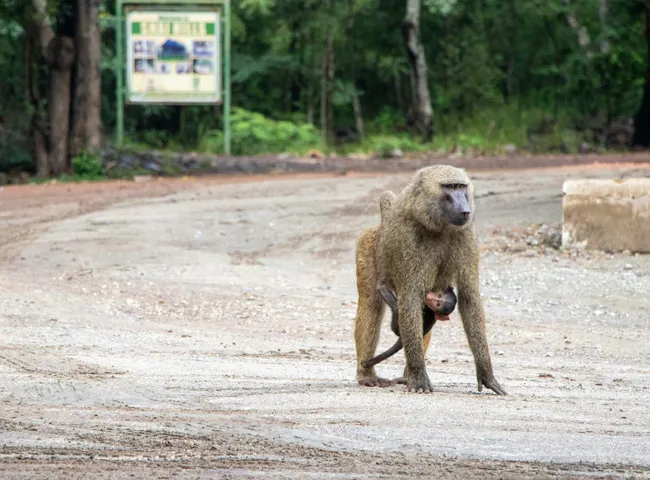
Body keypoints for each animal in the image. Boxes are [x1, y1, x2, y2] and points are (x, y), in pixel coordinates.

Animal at [354, 165, 506, 395]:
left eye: (461, 187)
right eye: (449, 188)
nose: (465, 210)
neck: (437, 227)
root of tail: (380, 226)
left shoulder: (467, 234)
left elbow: (469, 297)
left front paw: (487, 374)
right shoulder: (407, 240)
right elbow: (409, 298)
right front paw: (418, 378)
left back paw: (406, 375)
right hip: (367, 248)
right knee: (371, 305)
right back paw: (367, 375)